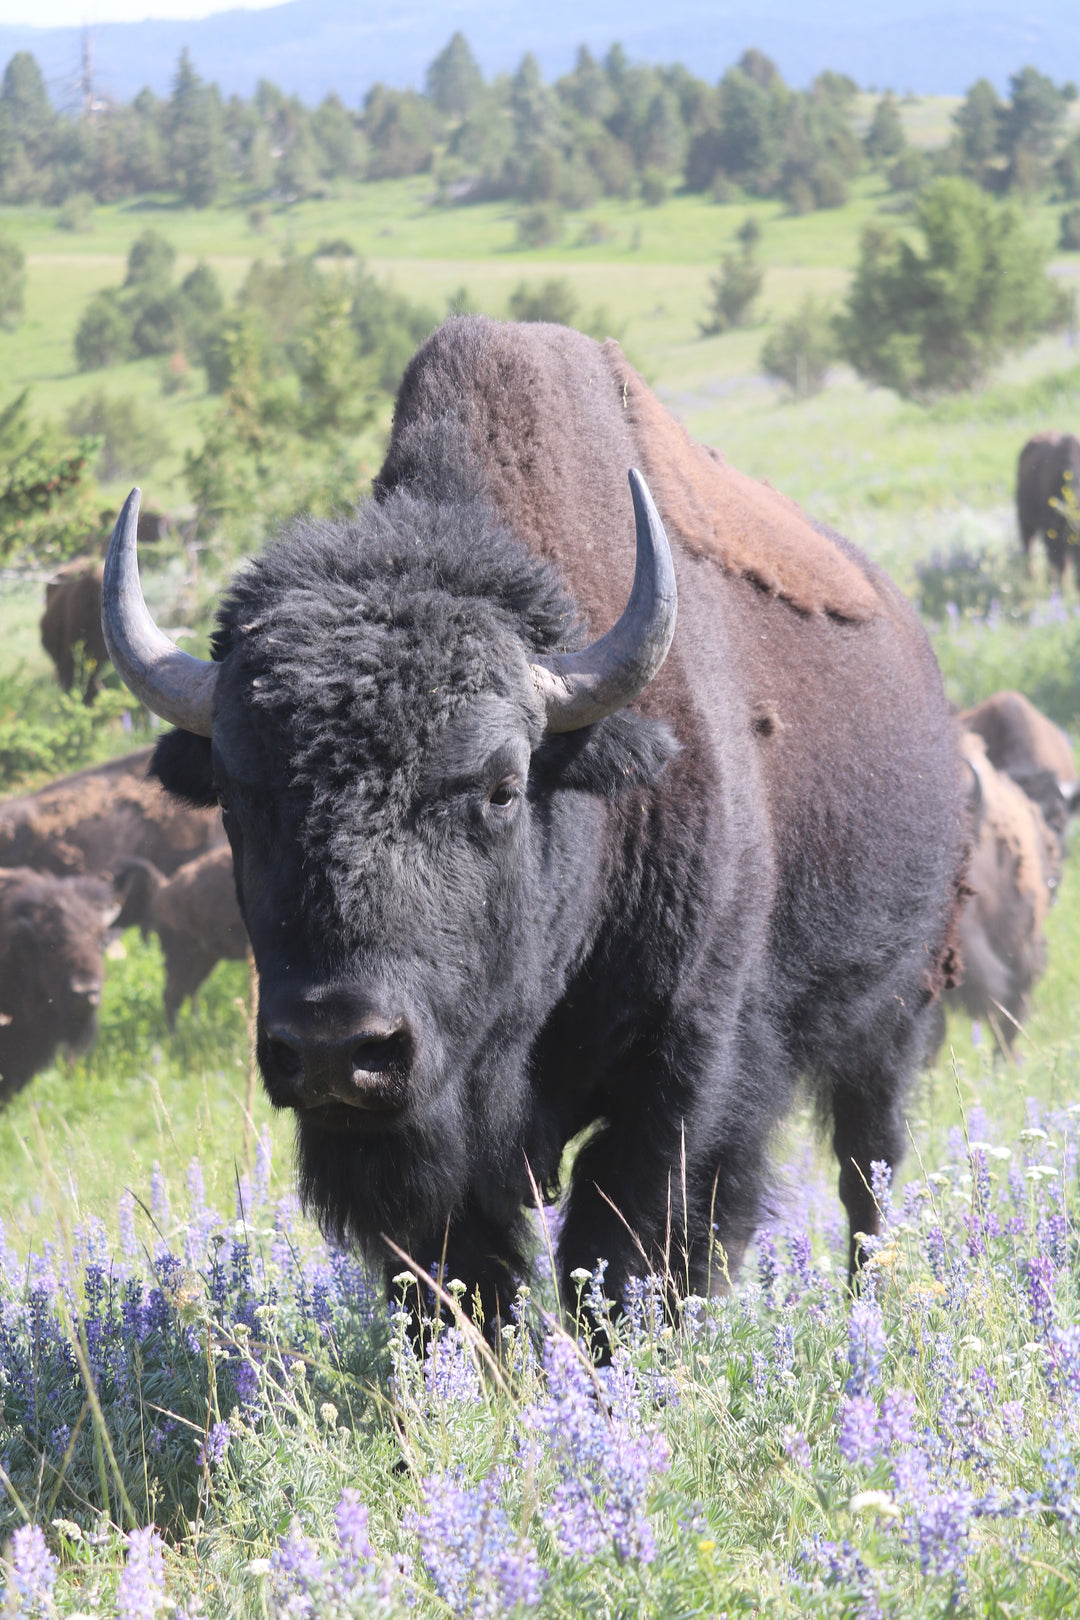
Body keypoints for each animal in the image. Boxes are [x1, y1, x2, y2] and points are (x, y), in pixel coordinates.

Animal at [103, 316, 969, 1325]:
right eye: (239, 796)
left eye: (501, 786)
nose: (335, 1045)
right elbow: (460, 1272)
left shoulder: (685, 1069)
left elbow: (628, 1243)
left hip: (894, 1012)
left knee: (866, 1168)